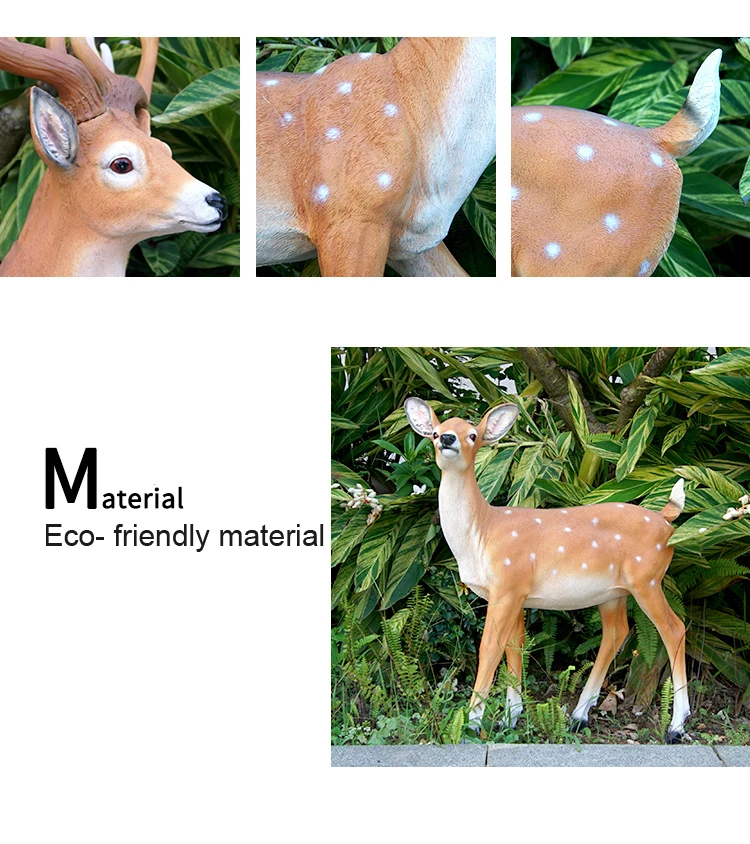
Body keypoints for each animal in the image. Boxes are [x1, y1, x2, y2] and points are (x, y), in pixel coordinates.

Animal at [404, 397, 690, 742]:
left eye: (473, 434)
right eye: (435, 432)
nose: (447, 439)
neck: (481, 533)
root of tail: (666, 520)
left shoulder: (508, 584)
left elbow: (489, 648)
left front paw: (472, 723)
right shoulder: (517, 593)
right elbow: (514, 648)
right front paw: (509, 718)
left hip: (647, 578)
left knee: (674, 629)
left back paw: (676, 726)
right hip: (613, 592)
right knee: (616, 632)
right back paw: (579, 716)